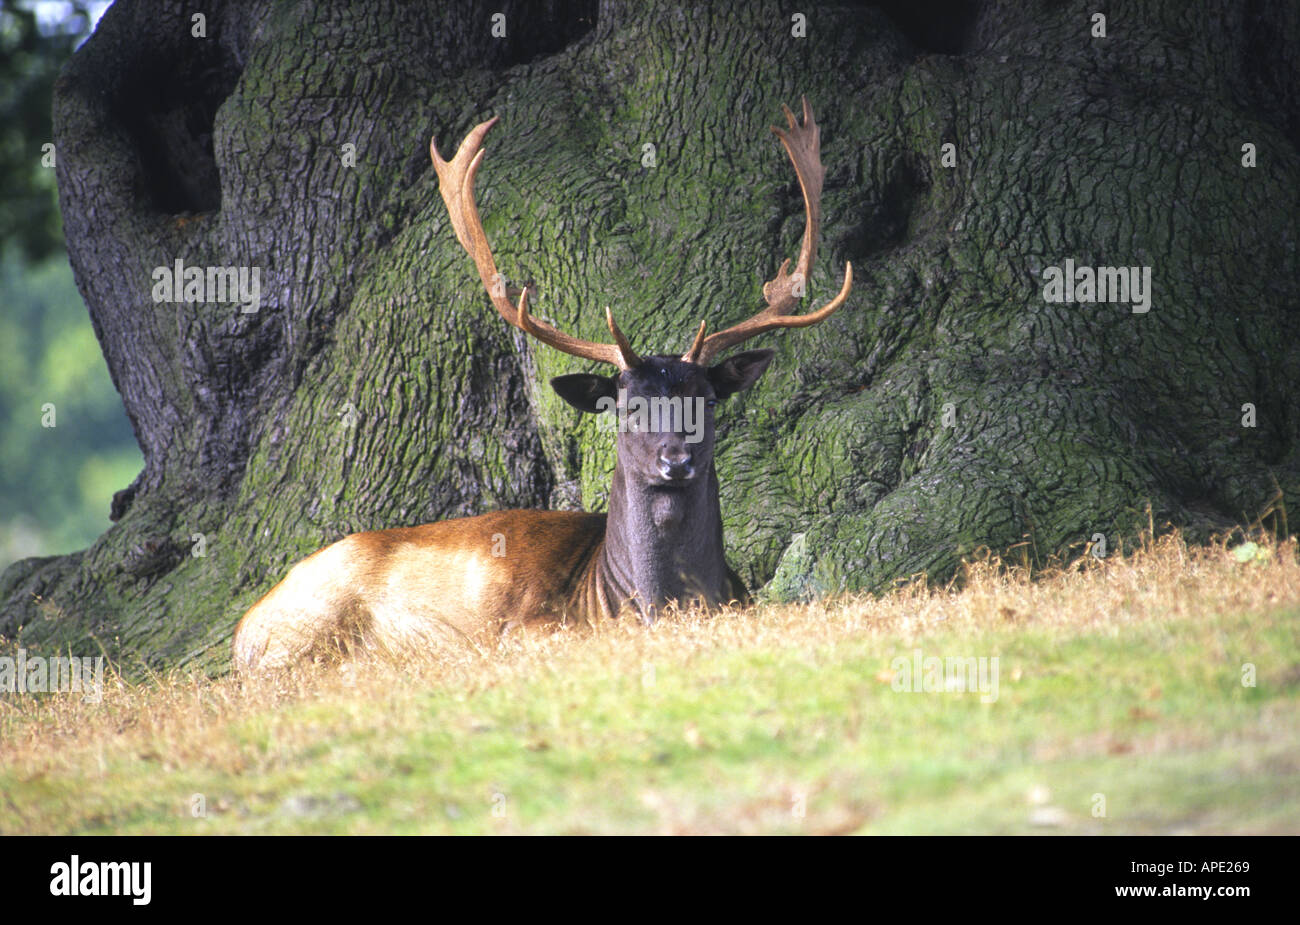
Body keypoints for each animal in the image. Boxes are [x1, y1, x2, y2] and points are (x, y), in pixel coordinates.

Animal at [231, 98, 852, 672]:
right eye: (625, 406)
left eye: (706, 401)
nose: (675, 459)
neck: (640, 603)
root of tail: (243, 625)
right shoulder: (529, 627)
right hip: (301, 628)